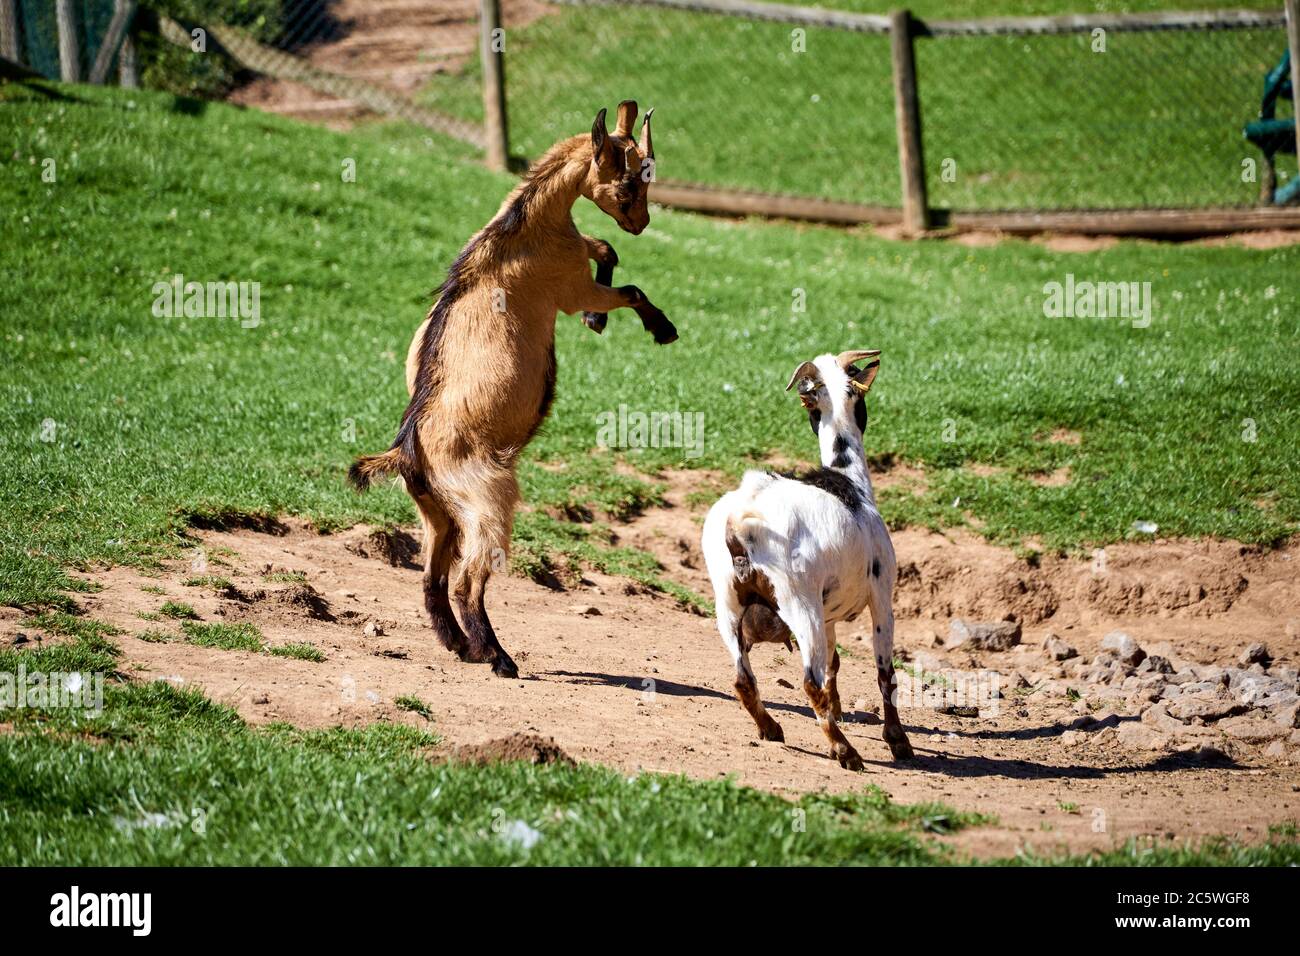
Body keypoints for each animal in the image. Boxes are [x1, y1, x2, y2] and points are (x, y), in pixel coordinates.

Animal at [349, 101, 674, 679]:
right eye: (629, 182)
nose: (642, 223)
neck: (523, 224)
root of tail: (406, 450)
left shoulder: (576, 255)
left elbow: (604, 247)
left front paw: (599, 320)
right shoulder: (569, 286)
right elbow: (627, 287)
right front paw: (654, 327)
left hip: (437, 514)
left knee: (432, 579)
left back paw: (460, 646)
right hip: (488, 501)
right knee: (466, 582)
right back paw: (497, 657)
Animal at [700, 350, 914, 770]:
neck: (850, 480)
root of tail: (740, 520)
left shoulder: (830, 613)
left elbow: (835, 663)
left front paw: (840, 708)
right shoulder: (882, 594)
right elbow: (885, 672)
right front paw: (898, 741)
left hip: (728, 605)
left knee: (742, 679)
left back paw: (771, 728)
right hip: (800, 604)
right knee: (808, 682)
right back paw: (846, 751)